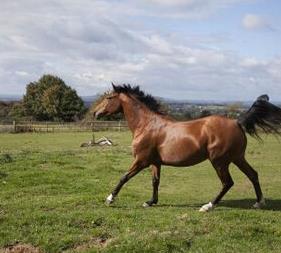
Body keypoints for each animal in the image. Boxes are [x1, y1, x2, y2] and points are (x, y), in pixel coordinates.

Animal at [93, 84, 280, 211]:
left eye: (109, 98)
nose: (95, 113)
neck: (146, 125)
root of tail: (237, 122)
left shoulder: (141, 161)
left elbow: (124, 177)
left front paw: (109, 199)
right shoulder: (155, 162)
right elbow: (155, 181)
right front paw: (151, 202)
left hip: (219, 161)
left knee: (227, 182)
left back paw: (208, 206)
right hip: (237, 157)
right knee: (253, 174)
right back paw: (259, 202)